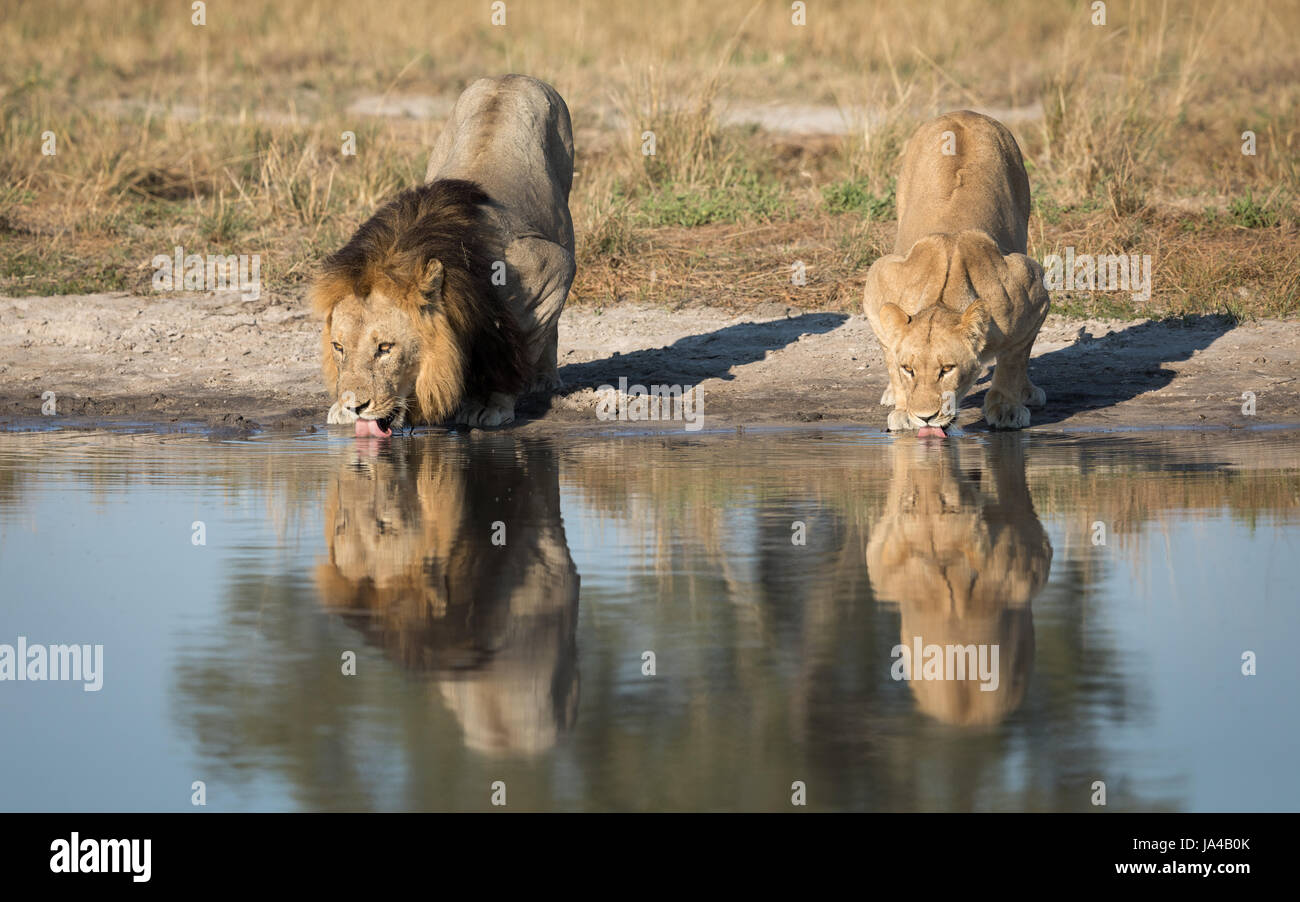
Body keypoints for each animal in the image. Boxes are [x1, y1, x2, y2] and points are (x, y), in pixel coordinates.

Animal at [313, 75, 575, 435]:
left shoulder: (549, 267)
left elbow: (518, 343)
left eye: (385, 348)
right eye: (338, 347)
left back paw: (546, 379)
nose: (355, 407)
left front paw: (491, 403)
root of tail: (511, 76)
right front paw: (339, 409)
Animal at [863, 110, 1050, 433]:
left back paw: (1028, 392)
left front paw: (1007, 408)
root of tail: (963, 113)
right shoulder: (878, 282)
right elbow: (890, 351)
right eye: (909, 369)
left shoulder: (1033, 290)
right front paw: (901, 408)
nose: (925, 416)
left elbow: (1014, 358)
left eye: (947, 369)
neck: (943, 298)